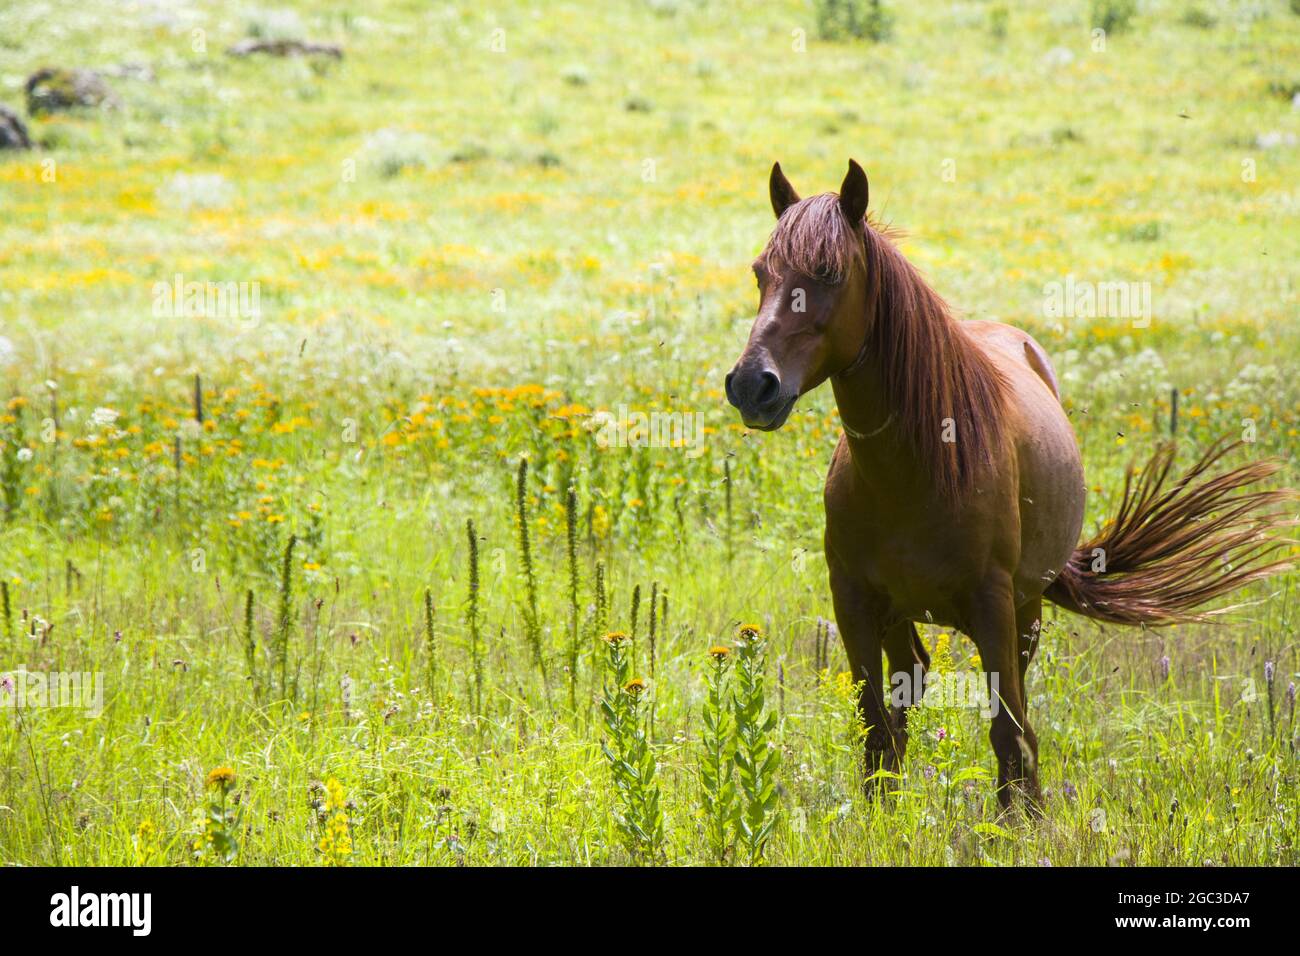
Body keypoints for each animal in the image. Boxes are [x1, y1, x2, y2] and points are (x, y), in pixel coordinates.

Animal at [725, 160, 1296, 812]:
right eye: (761, 273)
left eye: (828, 273)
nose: (752, 385)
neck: (913, 470)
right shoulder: (855, 601)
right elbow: (875, 721)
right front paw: (877, 816)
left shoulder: (994, 605)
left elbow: (1009, 728)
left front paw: (1019, 821)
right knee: (908, 688)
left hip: (1025, 609)